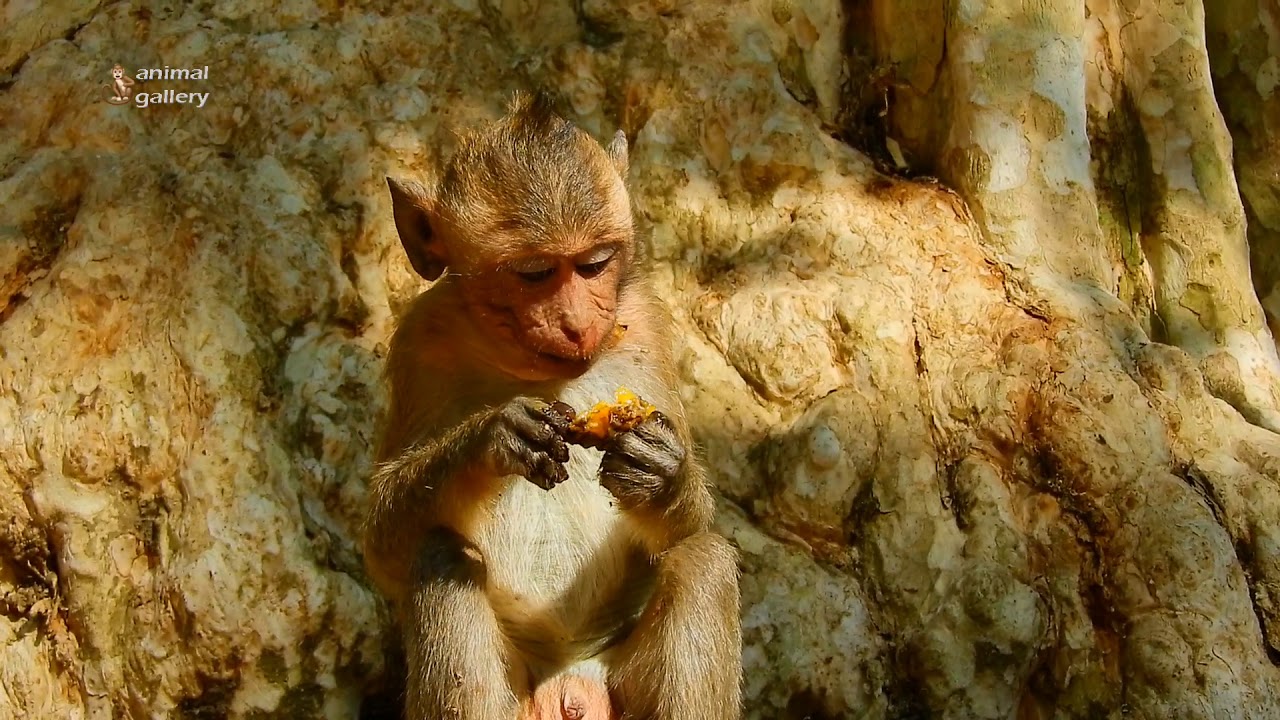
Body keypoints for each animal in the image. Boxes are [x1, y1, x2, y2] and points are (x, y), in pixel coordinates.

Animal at [362, 92, 742, 720]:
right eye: (534, 274)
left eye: (594, 264)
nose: (576, 322)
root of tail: (570, 681)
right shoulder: (421, 341)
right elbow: (385, 548)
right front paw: (491, 439)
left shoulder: (647, 322)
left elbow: (685, 531)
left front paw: (661, 470)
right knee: (442, 560)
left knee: (703, 561)